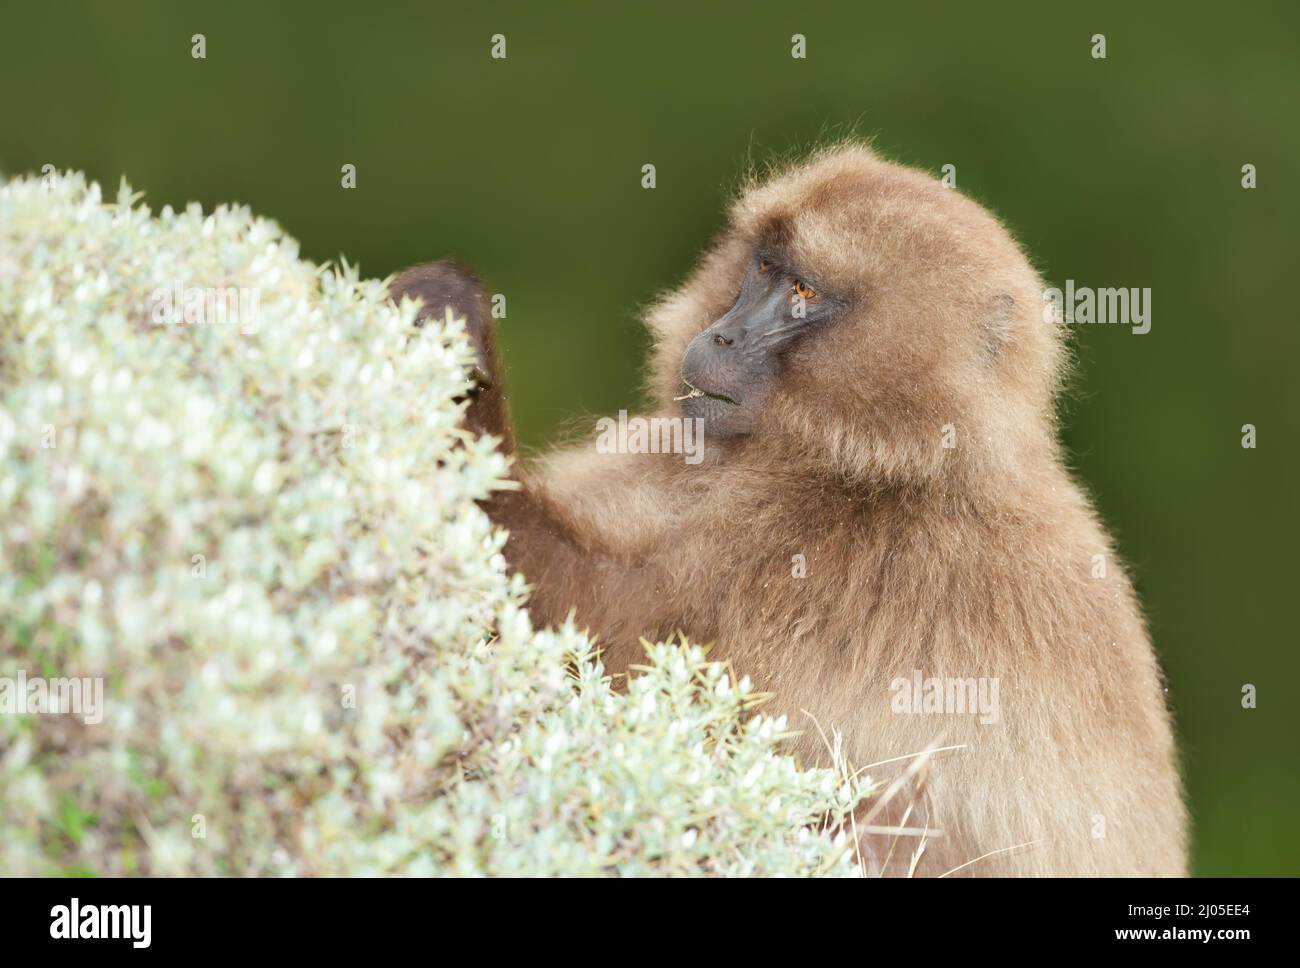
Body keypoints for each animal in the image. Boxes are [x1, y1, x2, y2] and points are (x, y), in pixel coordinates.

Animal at [391, 143, 1187, 877]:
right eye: (765, 270)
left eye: (804, 292)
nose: (720, 335)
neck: (870, 467)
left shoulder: (831, 560)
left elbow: (612, 656)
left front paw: (453, 330)